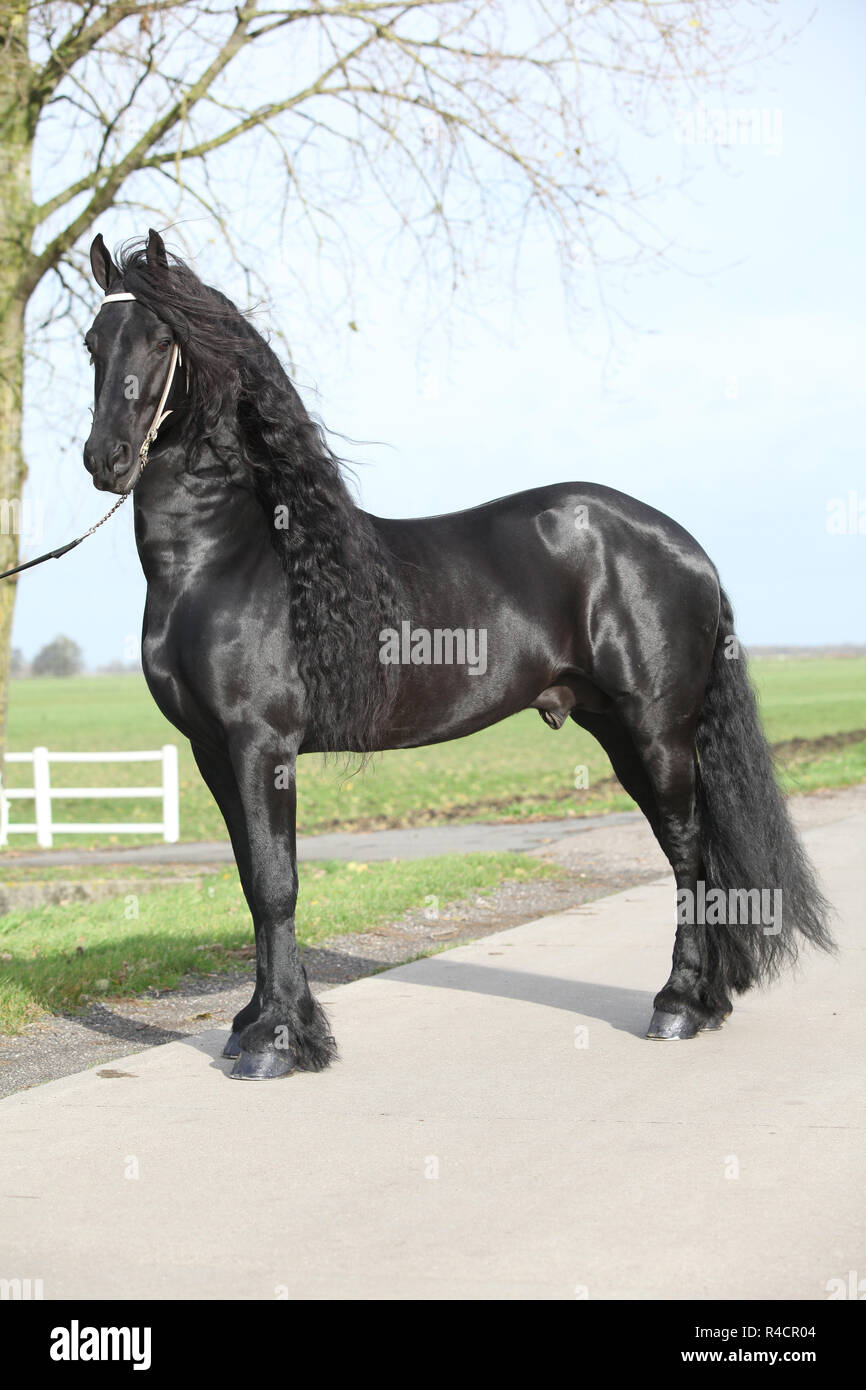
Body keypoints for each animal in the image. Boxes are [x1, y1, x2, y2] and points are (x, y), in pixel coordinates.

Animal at [82, 229, 833, 1079]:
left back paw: (678, 1006)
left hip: (658, 733)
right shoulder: (213, 751)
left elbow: (277, 885)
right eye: (93, 342)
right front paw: (258, 1025)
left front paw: (277, 1043)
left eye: (162, 339)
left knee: (688, 855)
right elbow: (251, 881)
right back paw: (702, 1002)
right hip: (617, 731)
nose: (106, 458)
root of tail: (687, 547)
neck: (229, 558)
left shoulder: (260, 746)